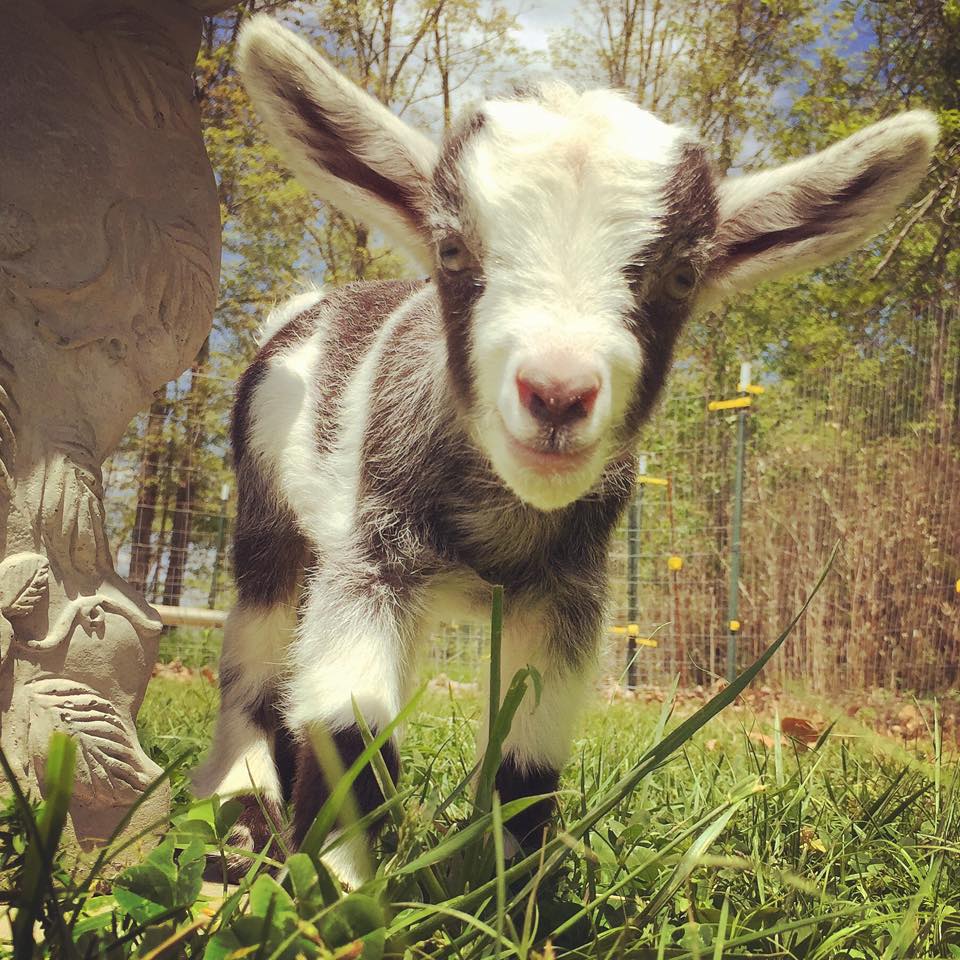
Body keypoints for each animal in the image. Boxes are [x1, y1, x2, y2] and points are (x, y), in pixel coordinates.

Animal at [193, 14, 937, 886]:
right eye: (452, 252)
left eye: (681, 277)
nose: (556, 392)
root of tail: (311, 310)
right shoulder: (370, 557)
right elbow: (352, 728)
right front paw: (338, 890)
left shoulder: (566, 595)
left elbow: (528, 760)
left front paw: (511, 890)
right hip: (271, 521)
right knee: (254, 661)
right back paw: (241, 815)